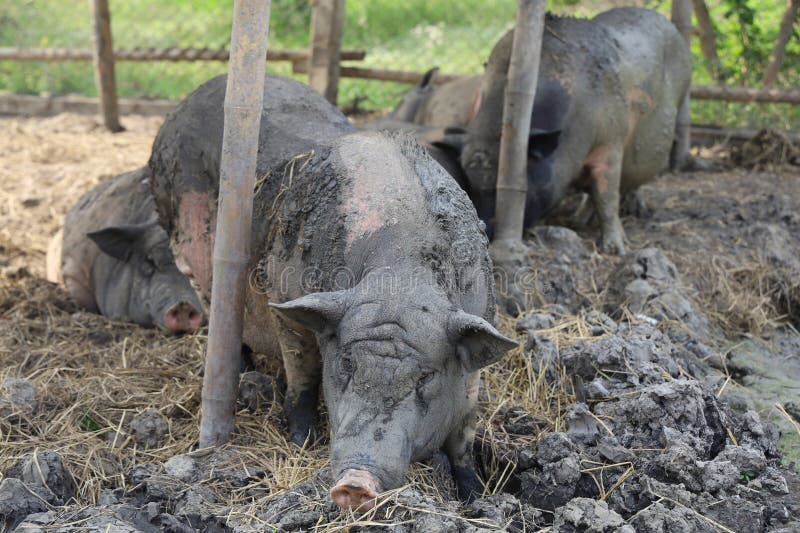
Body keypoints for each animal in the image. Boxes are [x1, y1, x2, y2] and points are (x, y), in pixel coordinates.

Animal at [149, 74, 516, 510]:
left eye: (426, 377)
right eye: (346, 363)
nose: (356, 482)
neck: (401, 280)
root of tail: (192, 96)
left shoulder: (476, 335)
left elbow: (463, 434)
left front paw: (474, 496)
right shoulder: (287, 305)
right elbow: (304, 374)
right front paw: (303, 442)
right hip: (186, 248)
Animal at [453, 7, 692, 254]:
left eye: (498, 186)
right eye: (470, 183)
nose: (486, 230)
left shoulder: (611, 141)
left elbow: (606, 195)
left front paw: (615, 249)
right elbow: (596, 193)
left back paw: (635, 212)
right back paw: (579, 220)